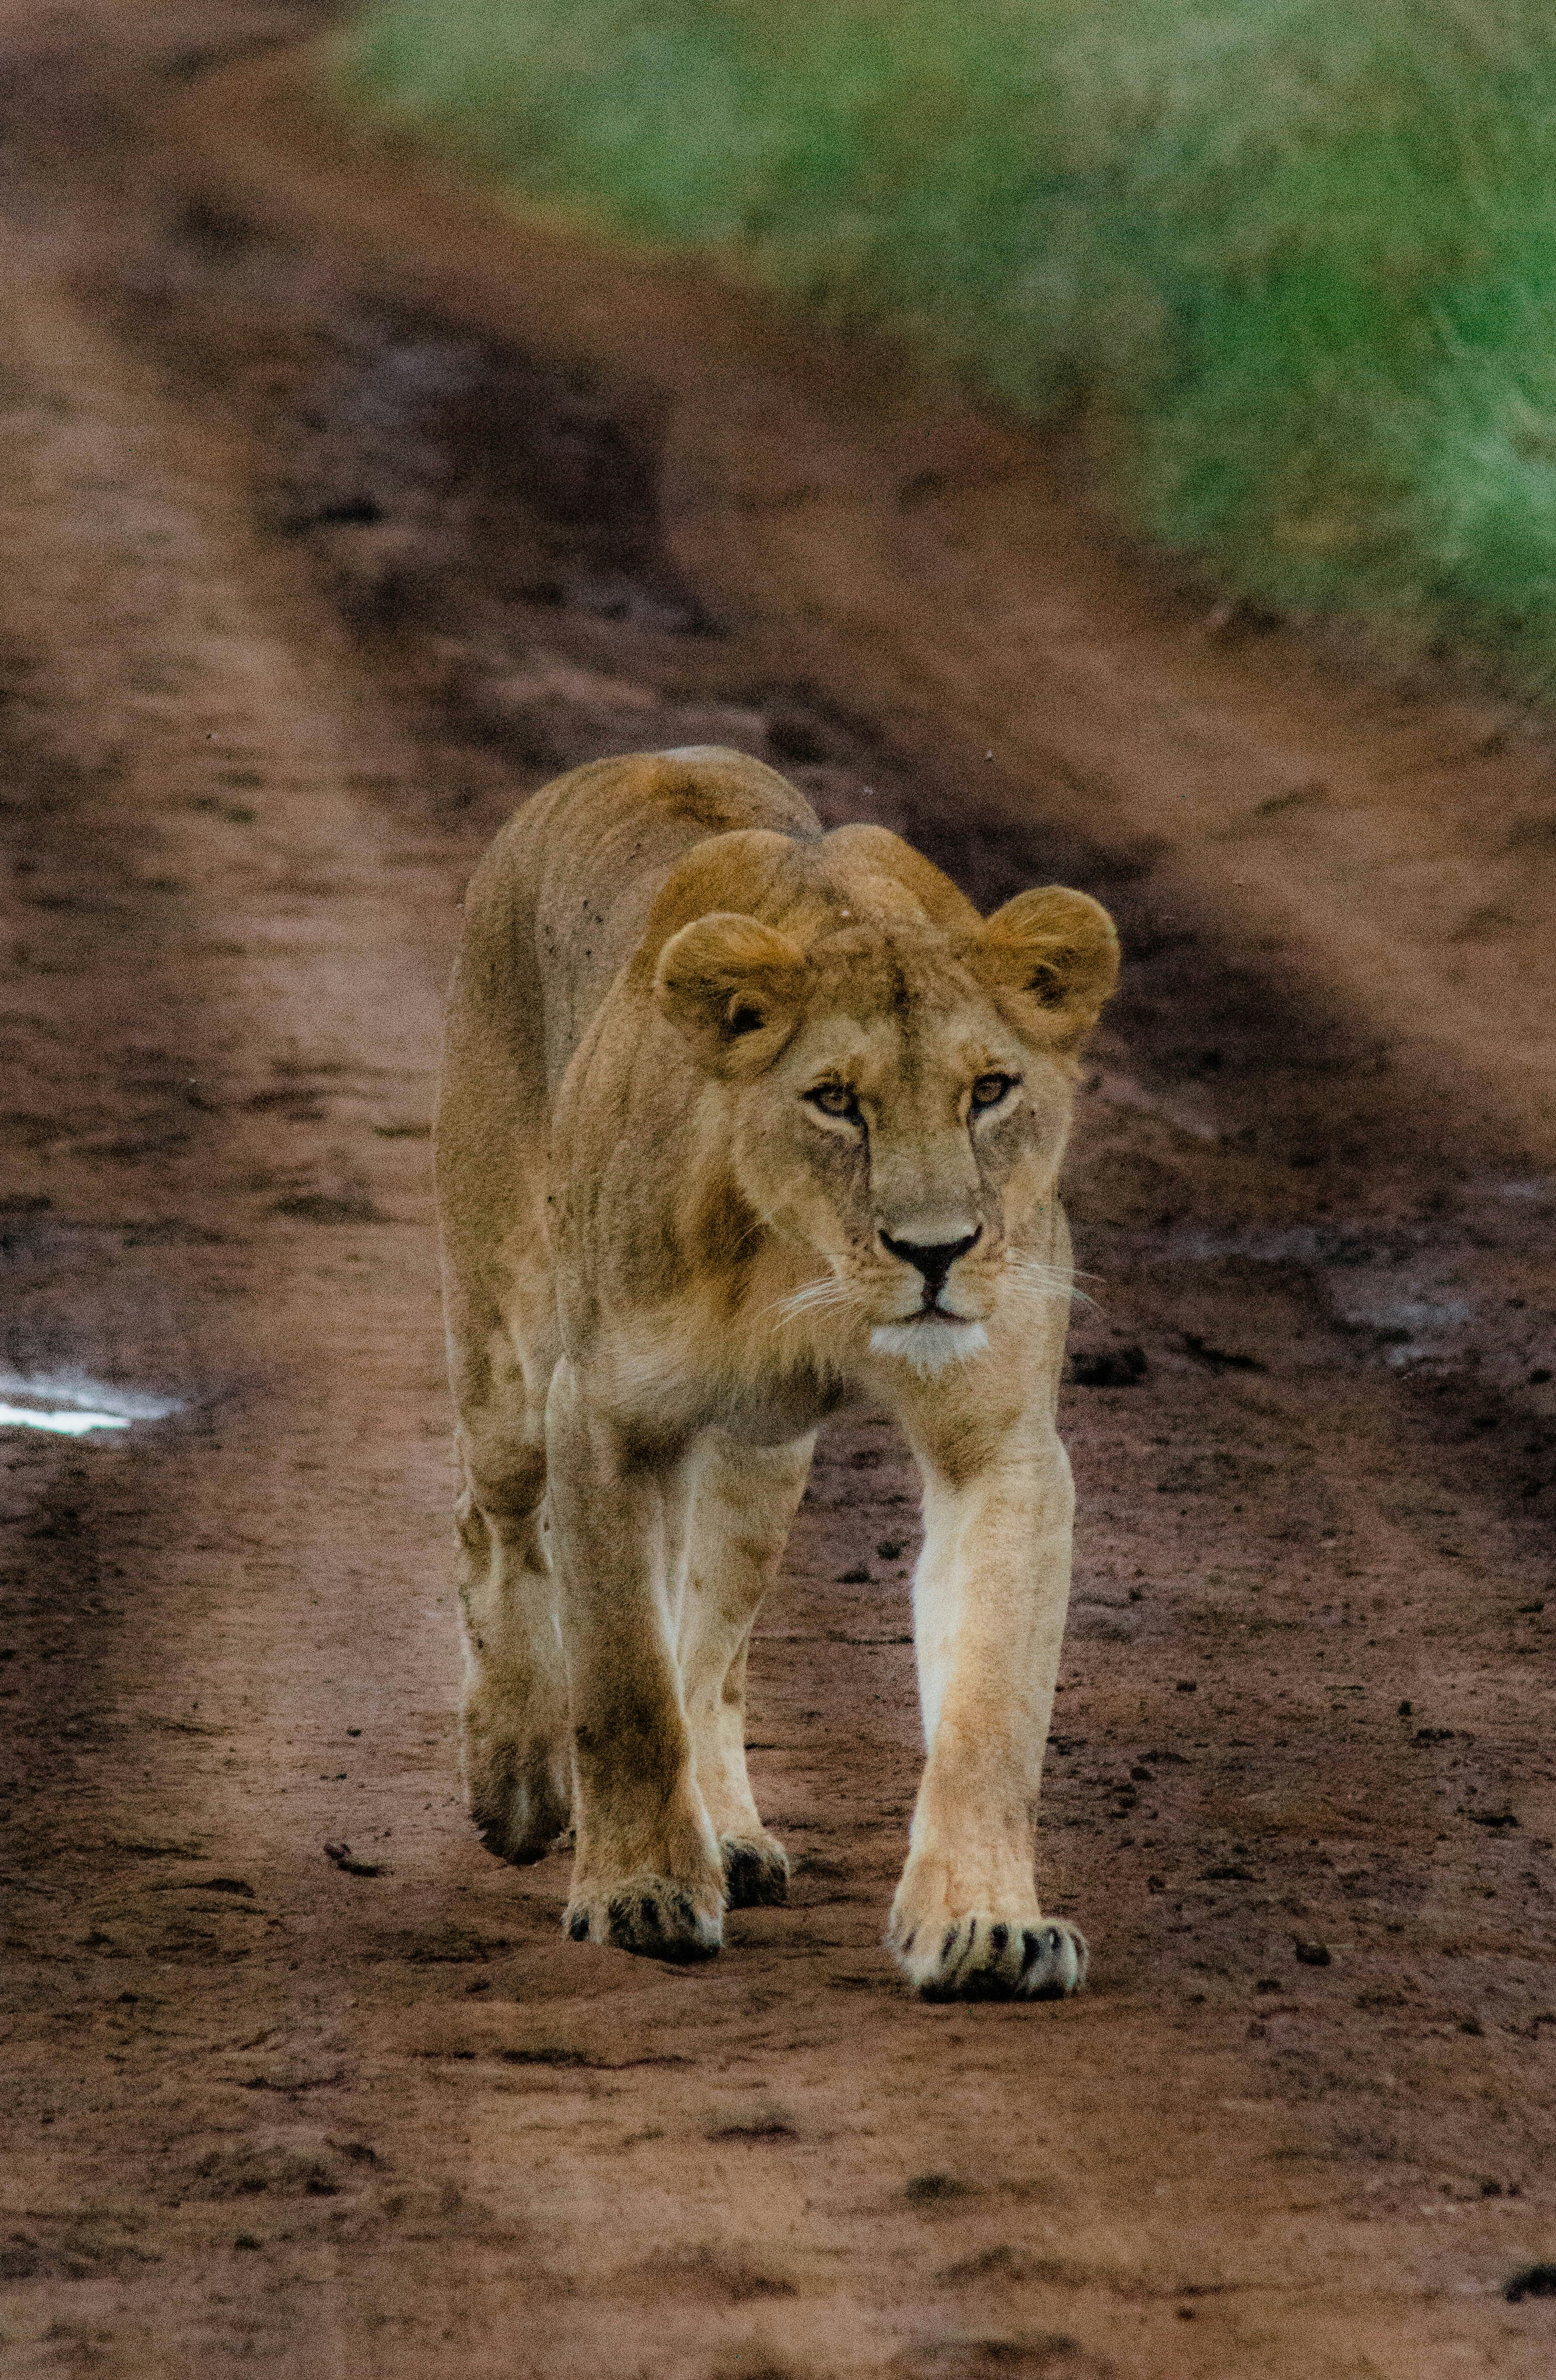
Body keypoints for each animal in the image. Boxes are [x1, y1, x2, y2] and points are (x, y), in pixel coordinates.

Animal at [435, 746, 1119, 1999]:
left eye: (989, 1090)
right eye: (835, 1101)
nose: (937, 1251)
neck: (804, 1263)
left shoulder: (998, 1444)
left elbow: (989, 1709)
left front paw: (986, 1925)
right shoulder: (604, 1417)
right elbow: (624, 1683)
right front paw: (639, 1894)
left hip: (762, 1459)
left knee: (714, 1648)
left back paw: (730, 1834)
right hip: (507, 1337)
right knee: (495, 1522)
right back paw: (515, 1780)